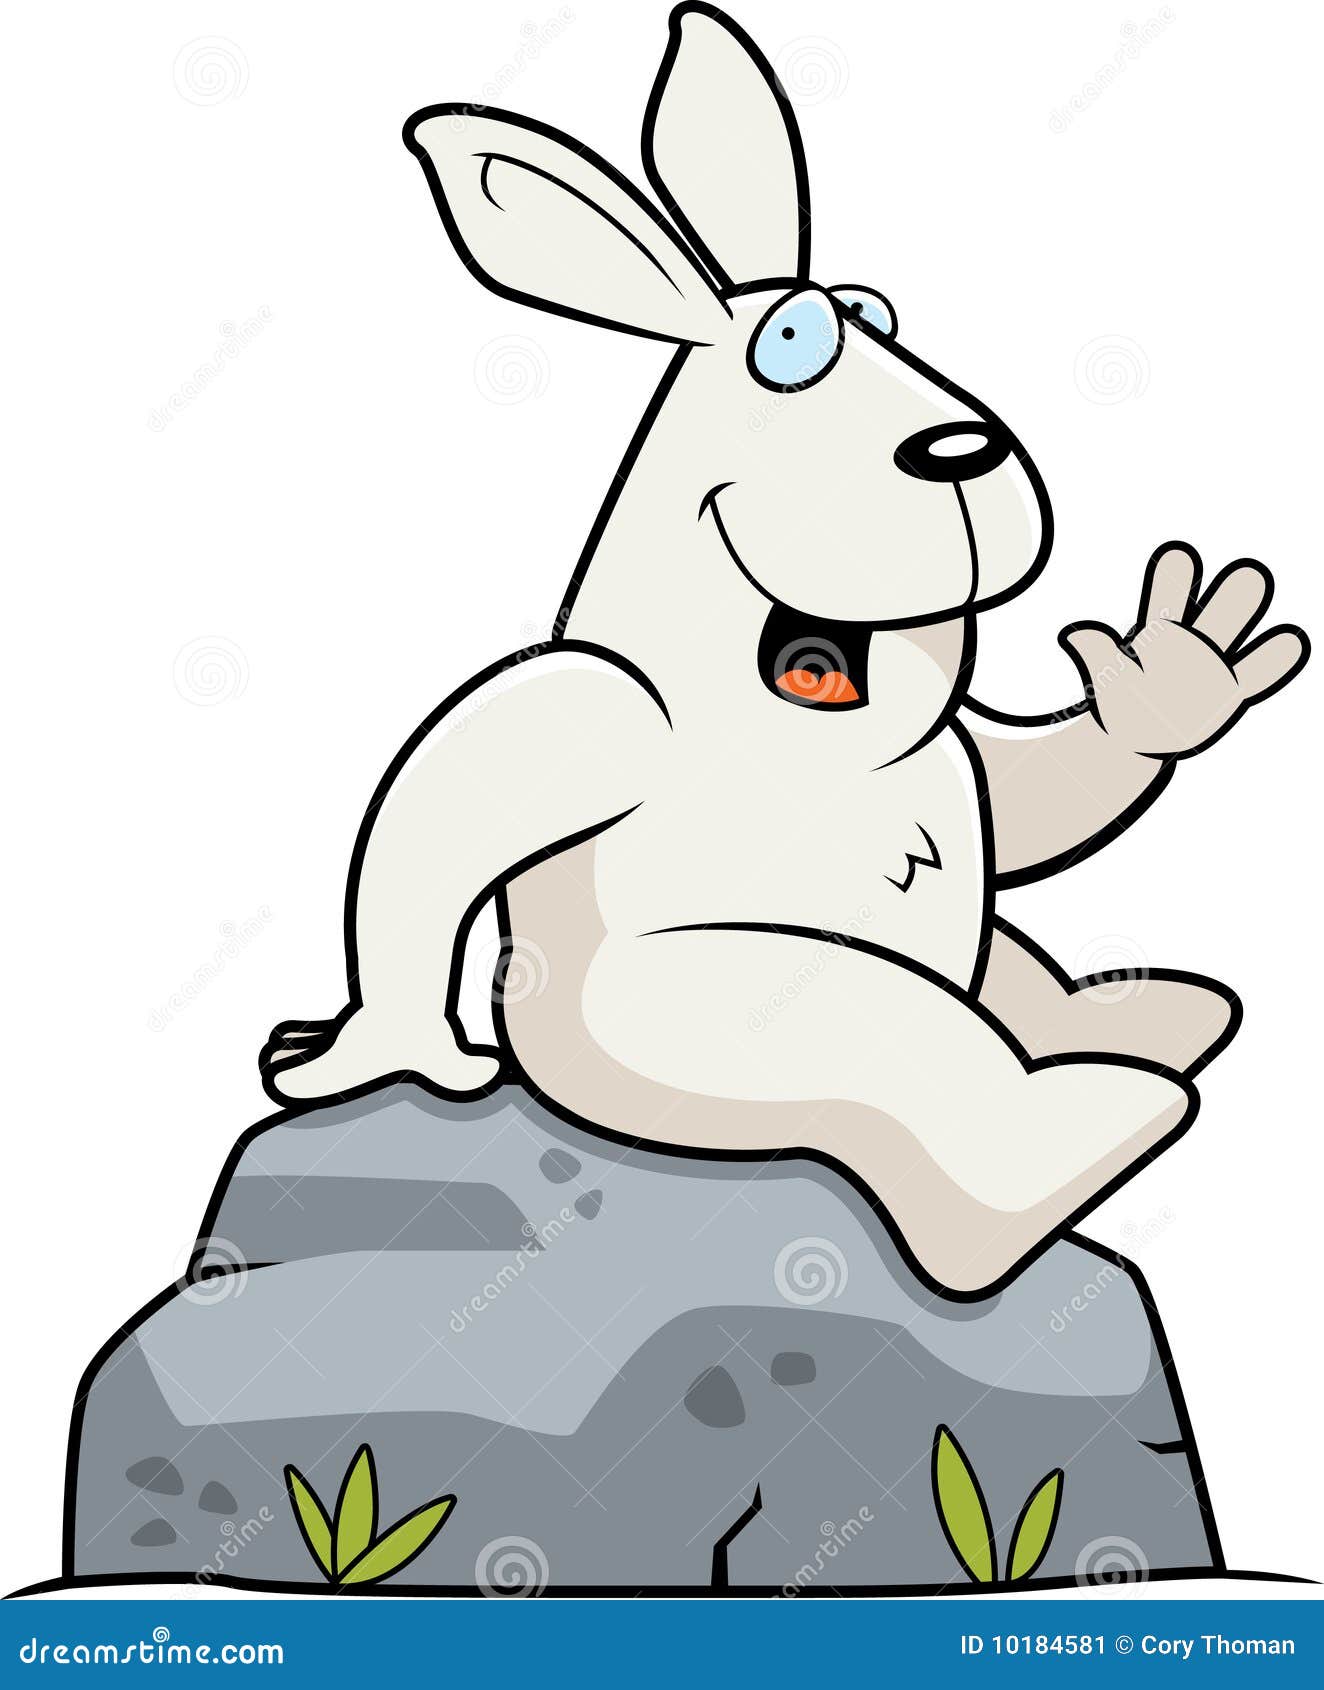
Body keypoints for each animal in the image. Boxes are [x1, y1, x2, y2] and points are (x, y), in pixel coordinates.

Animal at [262, 4, 1308, 1296]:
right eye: (793, 343)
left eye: (878, 317)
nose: (962, 452)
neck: (818, 707)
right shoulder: (602, 709)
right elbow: (446, 811)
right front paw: (387, 1048)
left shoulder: (958, 743)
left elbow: (1024, 800)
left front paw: (1167, 678)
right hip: (721, 1004)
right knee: (912, 1049)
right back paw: (1068, 1147)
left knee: (1009, 987)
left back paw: (1128, 1018)